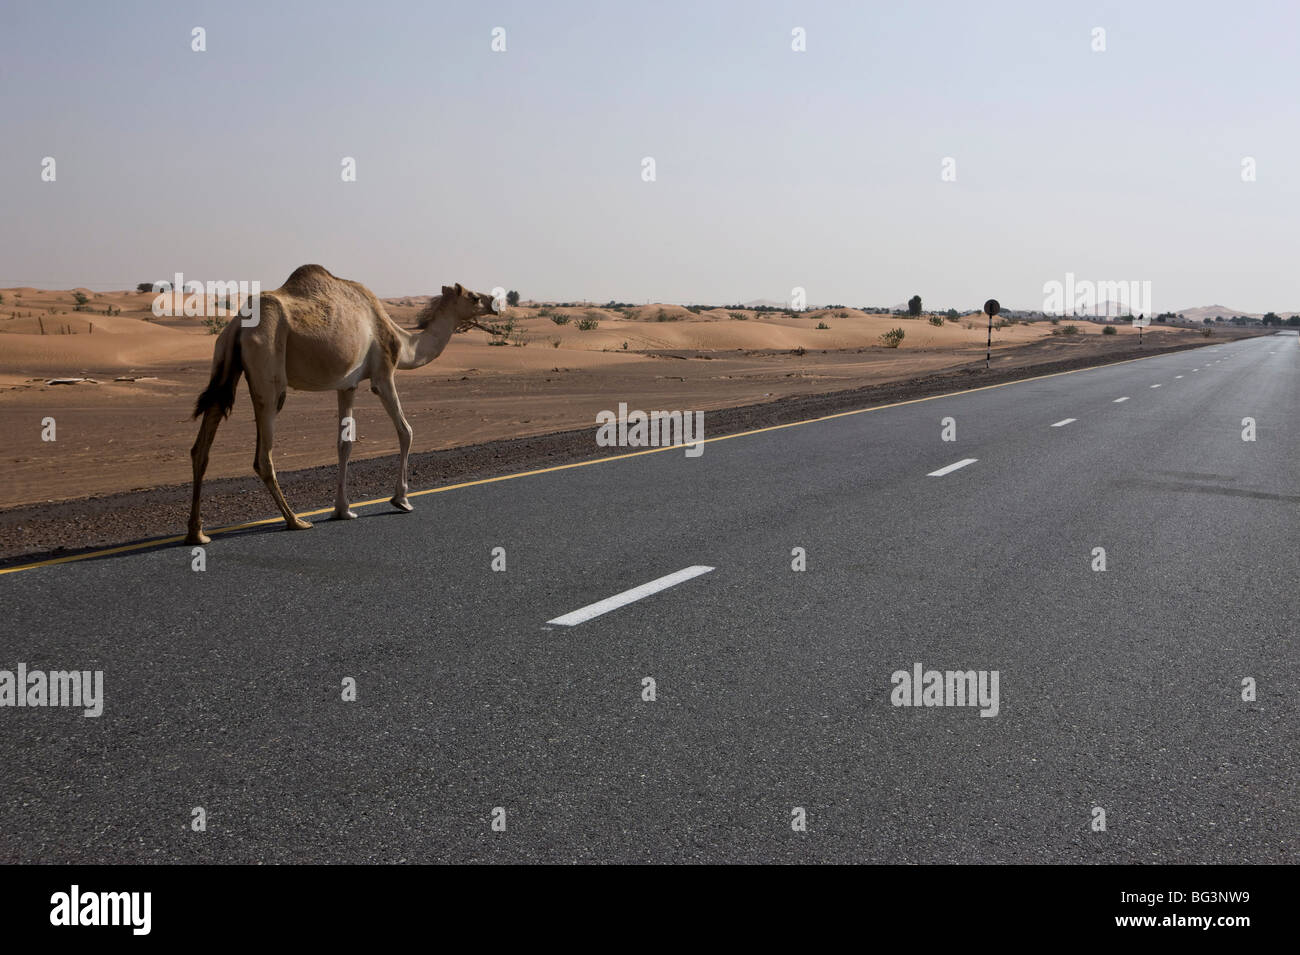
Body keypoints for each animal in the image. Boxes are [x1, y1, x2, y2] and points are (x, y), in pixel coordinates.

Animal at [185, 264, 497, 545]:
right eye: (472, 296)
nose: (495, 303)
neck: (402, 340)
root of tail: (238, 324)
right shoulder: (383, 374)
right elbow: (405, 430)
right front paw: (401, 499)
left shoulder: (347, 385)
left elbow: (344, 443)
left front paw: (343, 510)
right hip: (267, 373)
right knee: (262, 454)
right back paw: (295, 520)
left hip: (224, 362)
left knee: (201, 446)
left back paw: (197, 533)